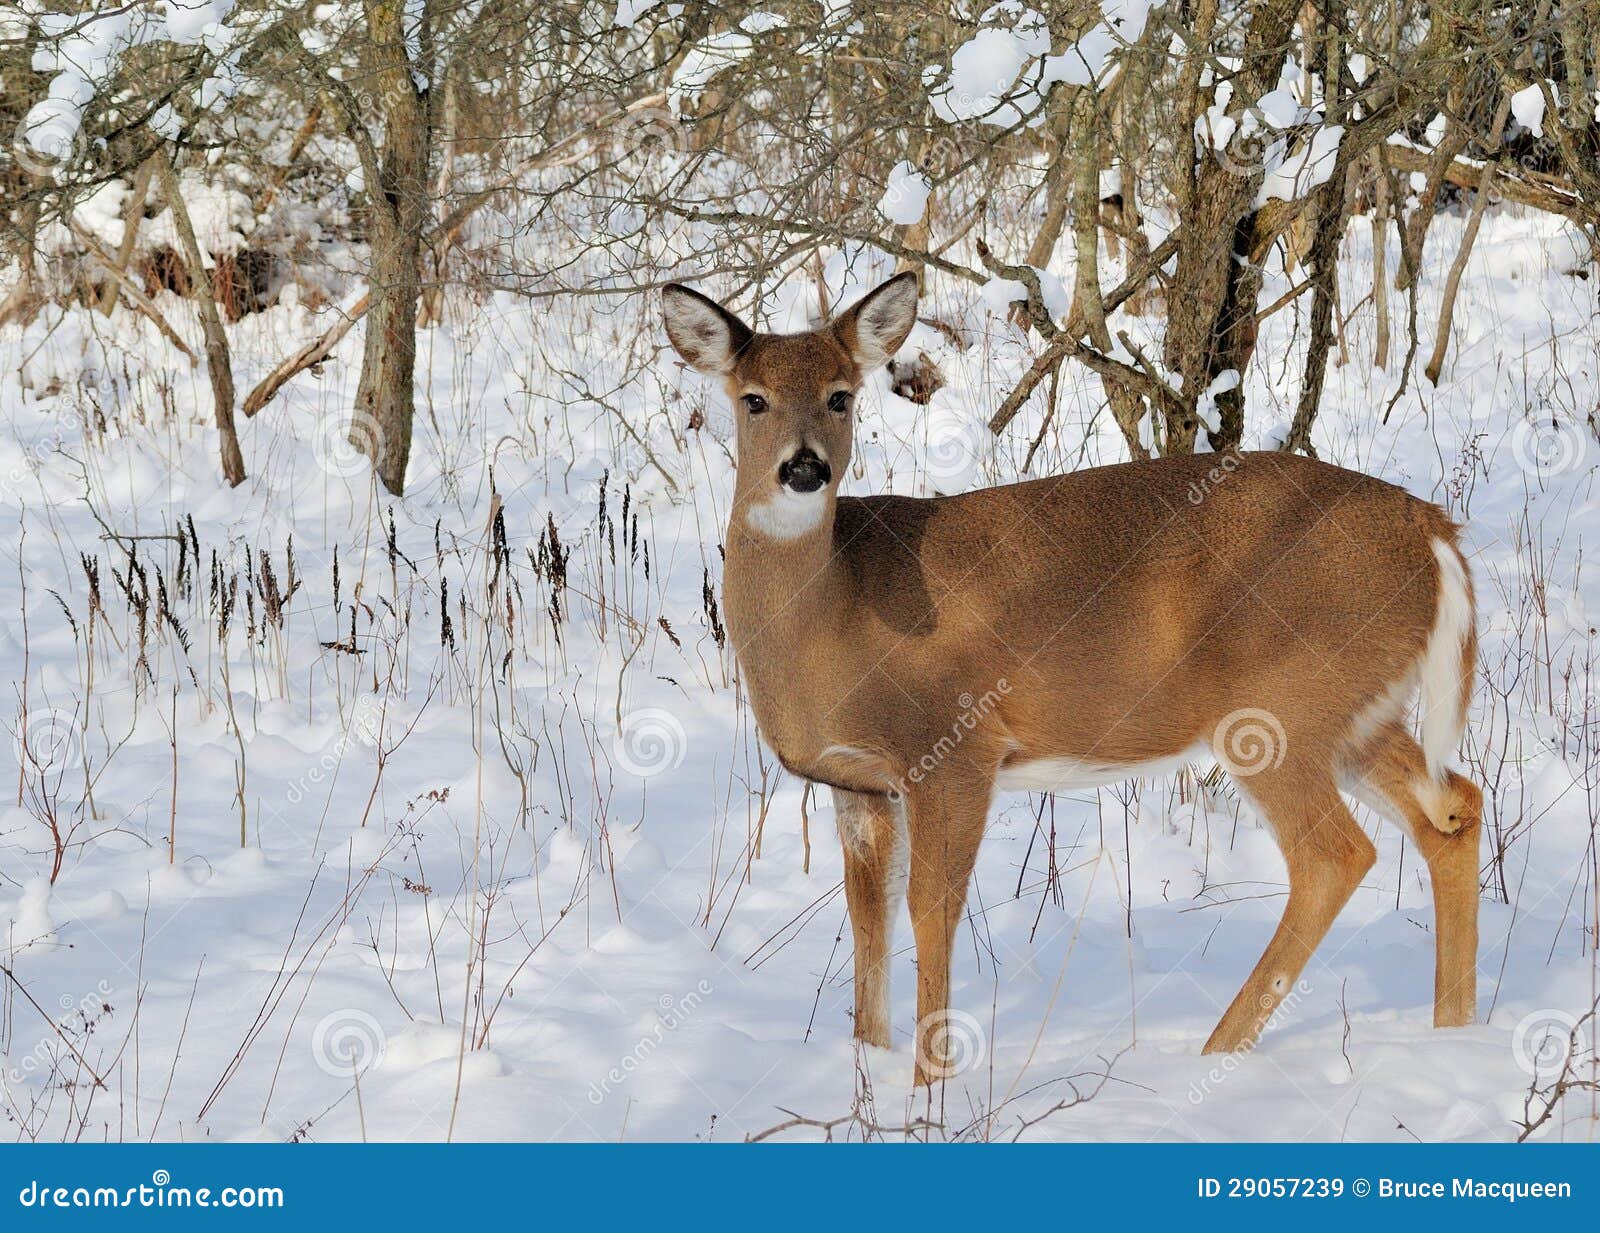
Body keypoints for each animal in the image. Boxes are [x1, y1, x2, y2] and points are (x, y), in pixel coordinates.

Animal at [662, 272, 1483, 1085]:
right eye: (754, 398)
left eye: (840, 395)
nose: (805, 468)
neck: (833, 614)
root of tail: (1433, 530)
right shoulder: (857, 781)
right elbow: (869, 917)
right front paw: (870, 1068)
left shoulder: (953, 746)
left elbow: (931, 908)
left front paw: (930, 1087)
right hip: (1356, 710)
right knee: (1454, 809)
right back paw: (1452, 1033)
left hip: (1281, 705)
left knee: (1337, 854)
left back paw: (1214, 1053)